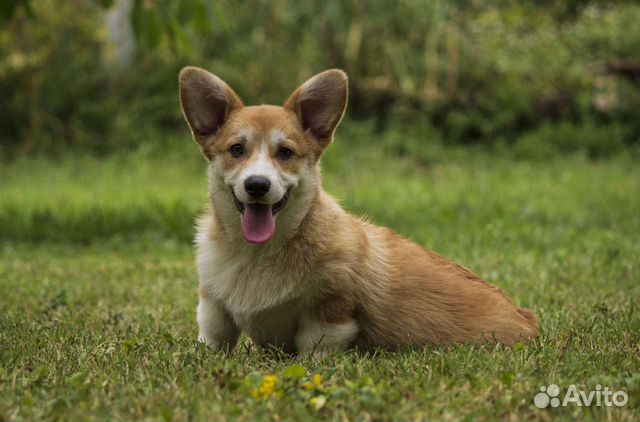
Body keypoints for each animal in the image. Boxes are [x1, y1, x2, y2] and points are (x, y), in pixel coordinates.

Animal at [178, 67, 536, 354]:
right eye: (237, 149)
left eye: (285, 153)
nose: (256, 185)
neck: (257, 254)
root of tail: (529, 321)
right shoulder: (213, 307)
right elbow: (214, 337)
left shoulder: (329, 312)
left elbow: (314, 351)